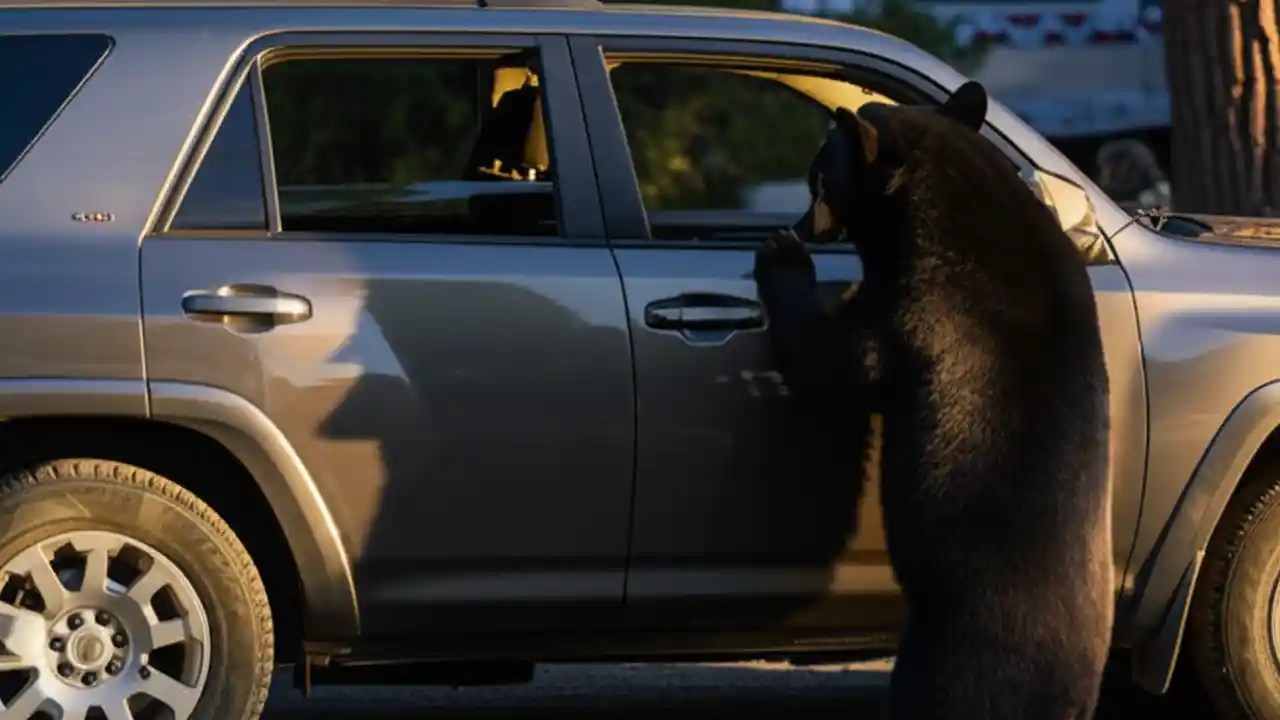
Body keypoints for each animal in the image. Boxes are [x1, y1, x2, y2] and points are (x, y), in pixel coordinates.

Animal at [753, 81, 1113, 720]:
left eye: (818, 175)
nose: (798, 222)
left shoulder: (921, 309)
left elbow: (837, 363)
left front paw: (781, 257)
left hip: (947, 650)